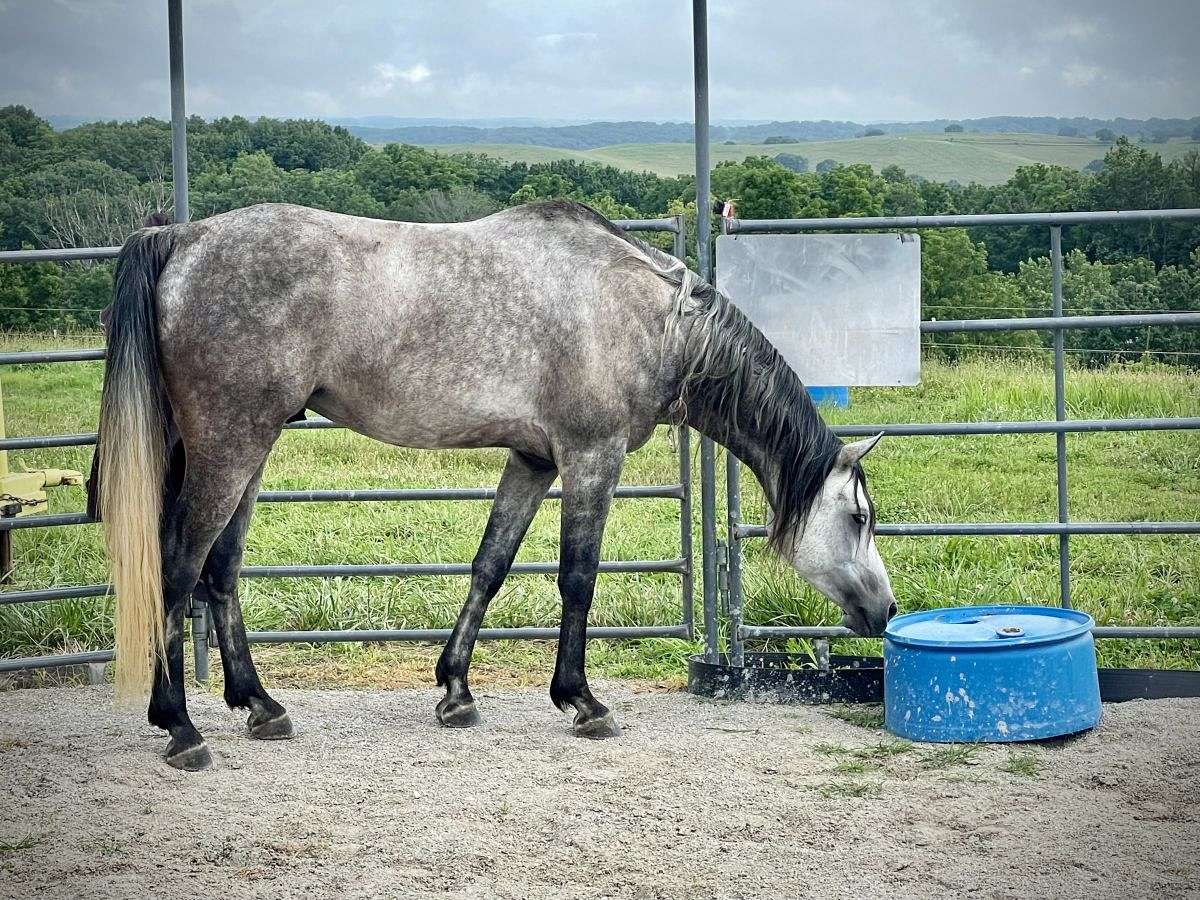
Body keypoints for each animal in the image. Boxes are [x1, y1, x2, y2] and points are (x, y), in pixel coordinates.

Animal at [92, 199, 897, 771]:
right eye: (859, 517)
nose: (885, 611)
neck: (650, 319)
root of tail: (184, 237)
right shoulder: (591, 457)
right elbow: (577, 577)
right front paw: (581, 700)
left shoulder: (532, 460)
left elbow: (491, 564)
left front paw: (455, 690)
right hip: (228, 449)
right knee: (177, 567)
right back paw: (181, 727)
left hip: (248, 449)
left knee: (220, 571)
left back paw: (259, 705)